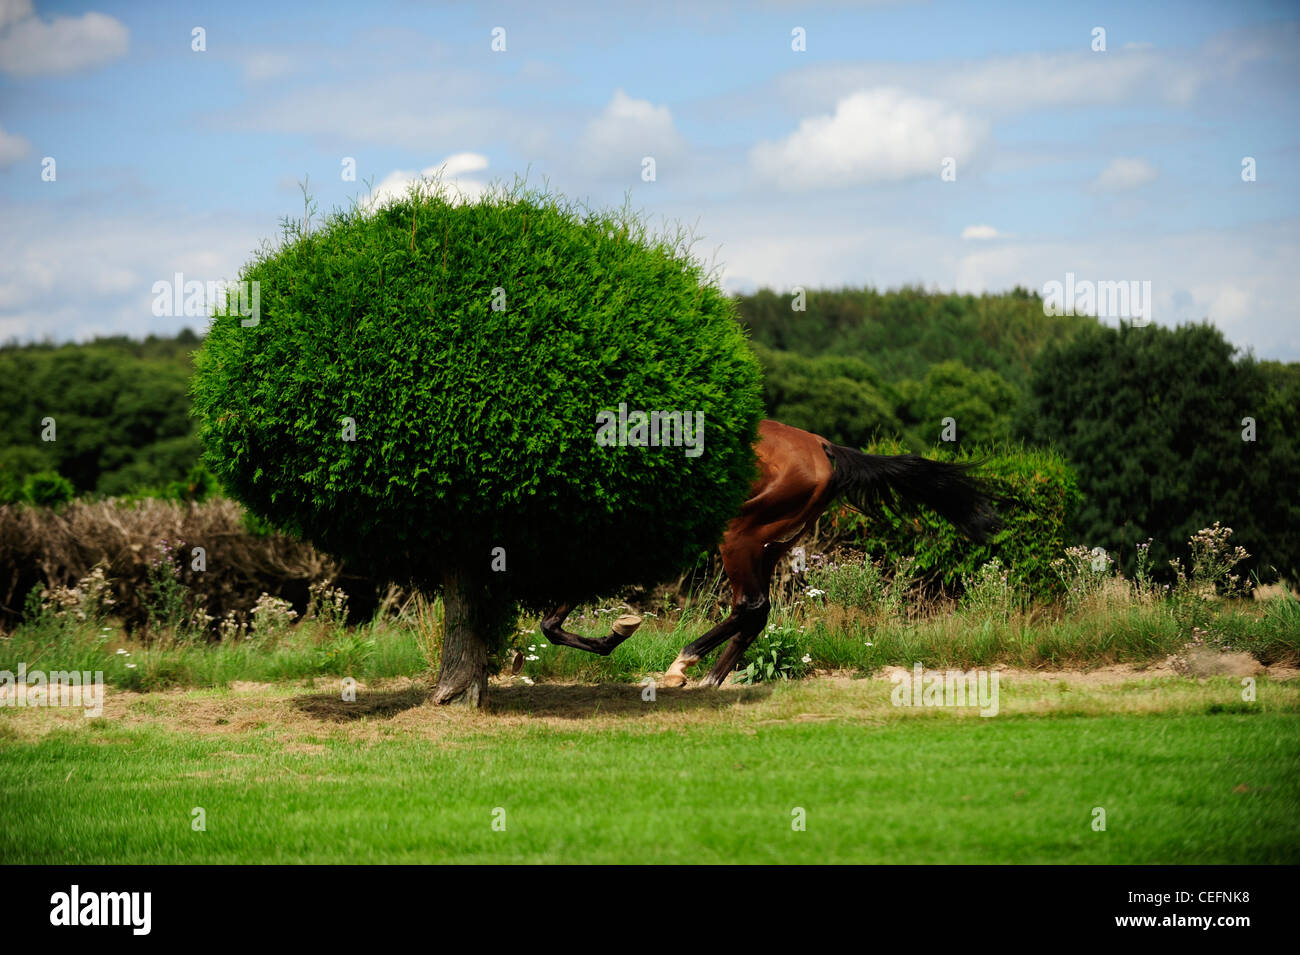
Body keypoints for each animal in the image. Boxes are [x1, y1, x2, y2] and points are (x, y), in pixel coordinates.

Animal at [538, 418, 1002, 687]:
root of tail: (824, 446)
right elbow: (551, 622)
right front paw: (616, 632)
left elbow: (555, 616)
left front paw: (620, 629)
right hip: (768, 545)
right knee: (757, 611)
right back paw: (708, 681)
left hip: (739, 534)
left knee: (751, 605)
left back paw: (683, 666)